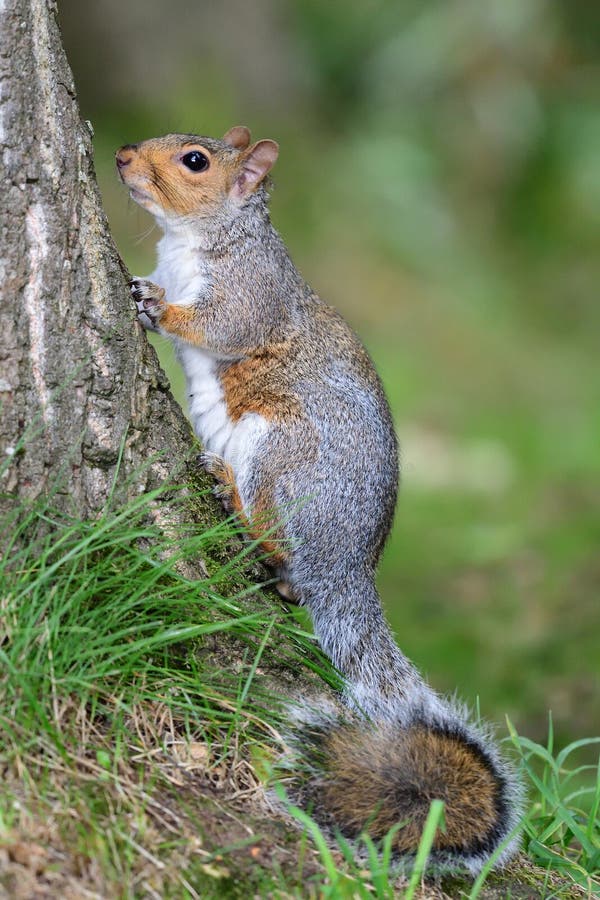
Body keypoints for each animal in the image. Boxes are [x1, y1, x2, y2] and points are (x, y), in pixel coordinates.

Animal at [116, 126, 522, 873]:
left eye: (196, 161)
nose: (125, 157)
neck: (204, 238)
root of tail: (346, 564)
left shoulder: (251, 294)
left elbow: (219, 328)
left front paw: (159, 308)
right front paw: (148, 288)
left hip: (282, 456)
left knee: (273, 534)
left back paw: (228, 490)